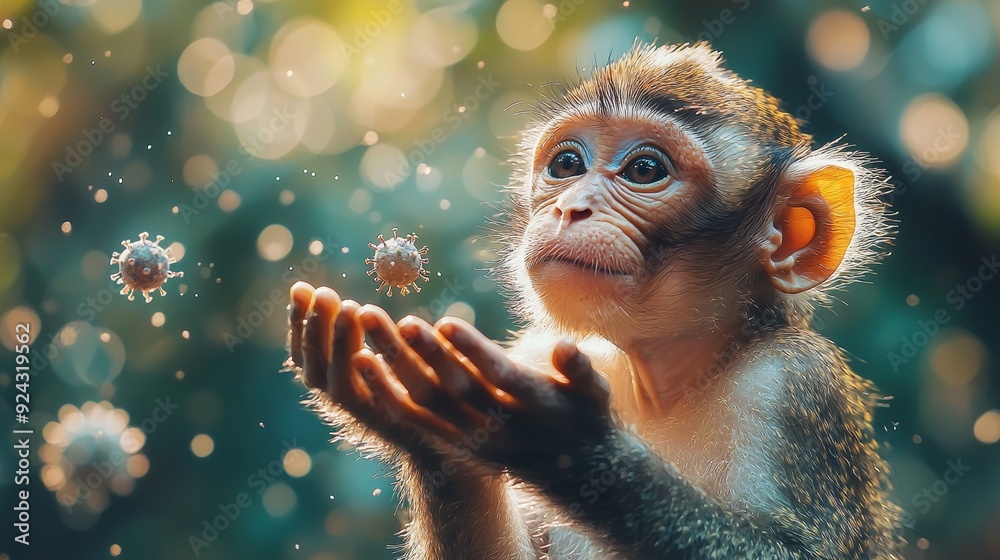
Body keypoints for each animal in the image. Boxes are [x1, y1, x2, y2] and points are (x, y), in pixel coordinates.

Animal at [286, 43, 903, 559]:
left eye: (645, 169)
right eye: (566, 165)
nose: (570, 207)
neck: (666, 383)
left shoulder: (793, 383)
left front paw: (573, 447)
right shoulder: (542, 351)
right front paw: (431, 433)